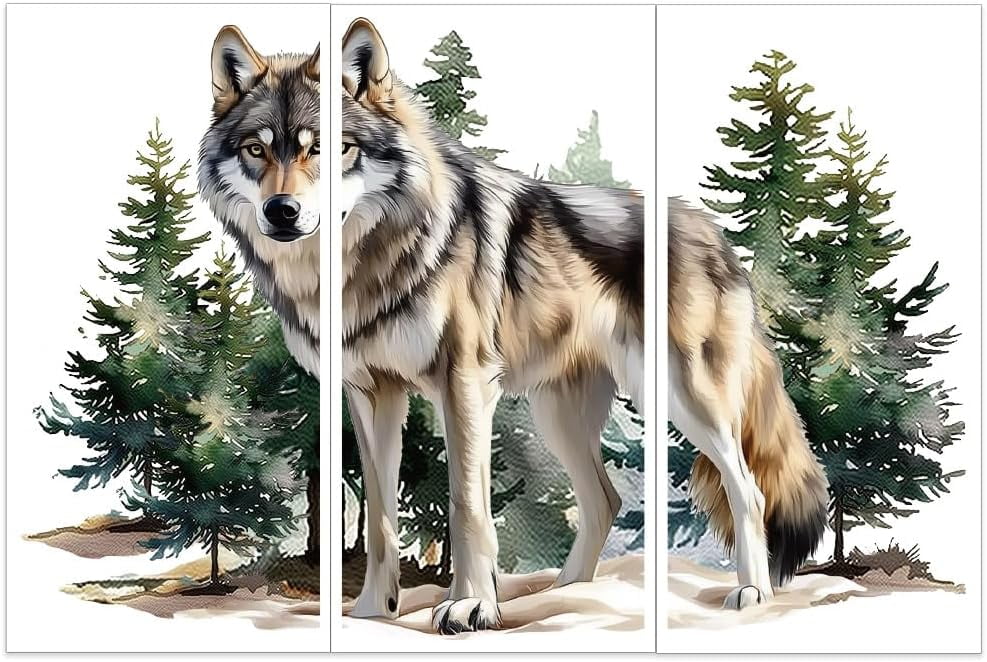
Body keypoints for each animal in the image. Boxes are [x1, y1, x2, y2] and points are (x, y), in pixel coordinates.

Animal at [341, 18, 644, 633]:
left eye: (336, 148)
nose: (283, 212)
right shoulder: (371, 390)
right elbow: (381, 515)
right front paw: (371, 613)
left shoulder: (464, 382)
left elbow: (467, 505)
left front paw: (472, 605)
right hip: (557, 416)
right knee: (604, 501)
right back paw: (568, 594)